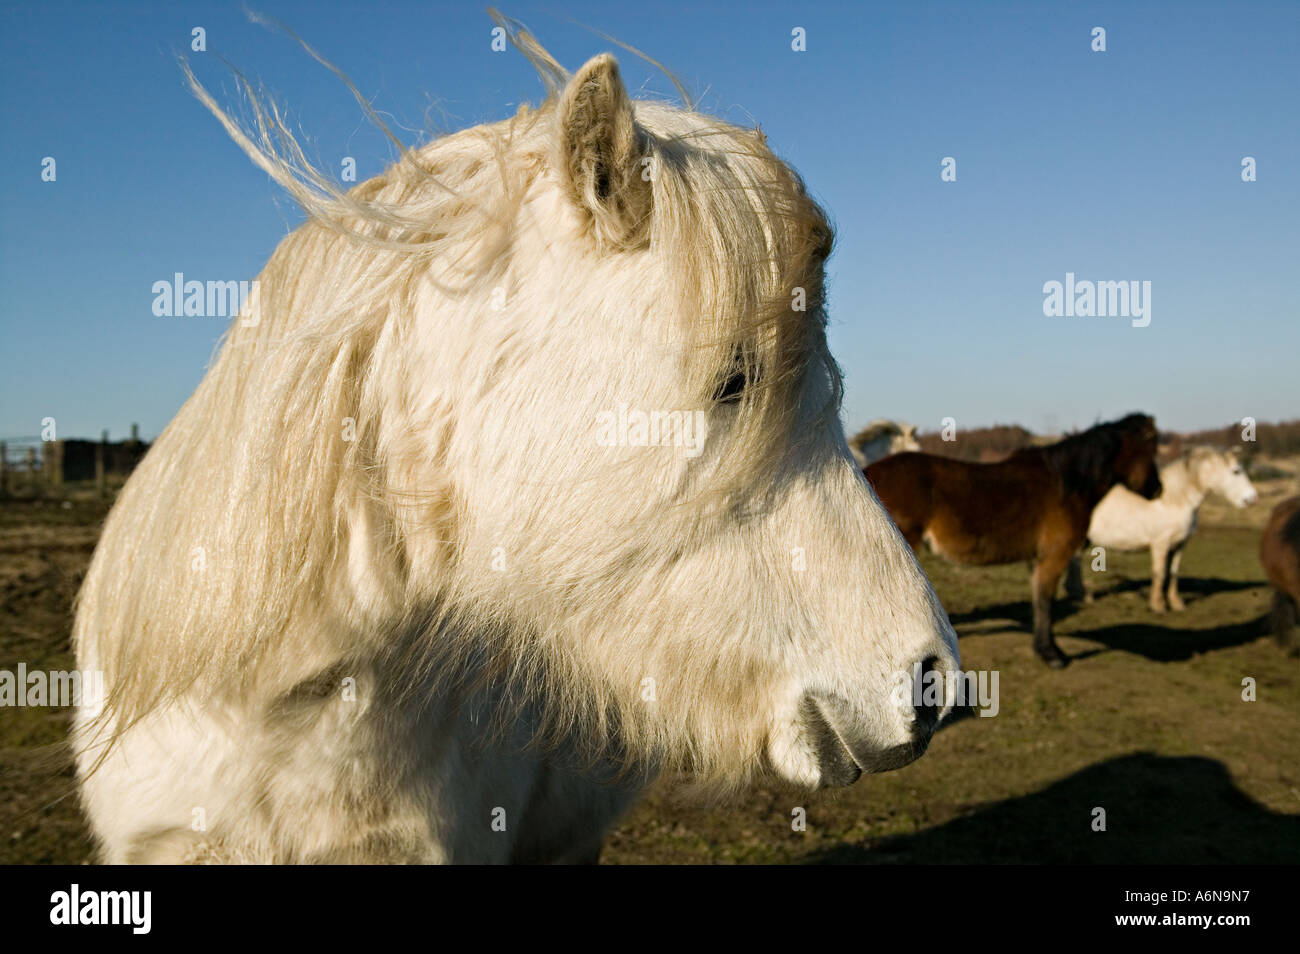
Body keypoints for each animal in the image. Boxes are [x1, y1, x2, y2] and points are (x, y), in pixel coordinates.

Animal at [865, 414, 1161, 668]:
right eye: (1149, 447)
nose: (1157, 489)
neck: (1066, 486)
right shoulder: (1054, 557)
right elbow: (1046, 602)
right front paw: (1052, 654)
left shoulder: (1036, 559)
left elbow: (1038, 601)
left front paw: (1042, 648)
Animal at [1064, 447, 1258, 611]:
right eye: (1236, 471)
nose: (1251, 499)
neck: (1173, 499)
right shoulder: (1160, 543)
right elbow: (1160, 573)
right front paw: (1157, 605)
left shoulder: (1179, 544)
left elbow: (1173, 573)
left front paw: (1176, 603)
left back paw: (1081, 596)